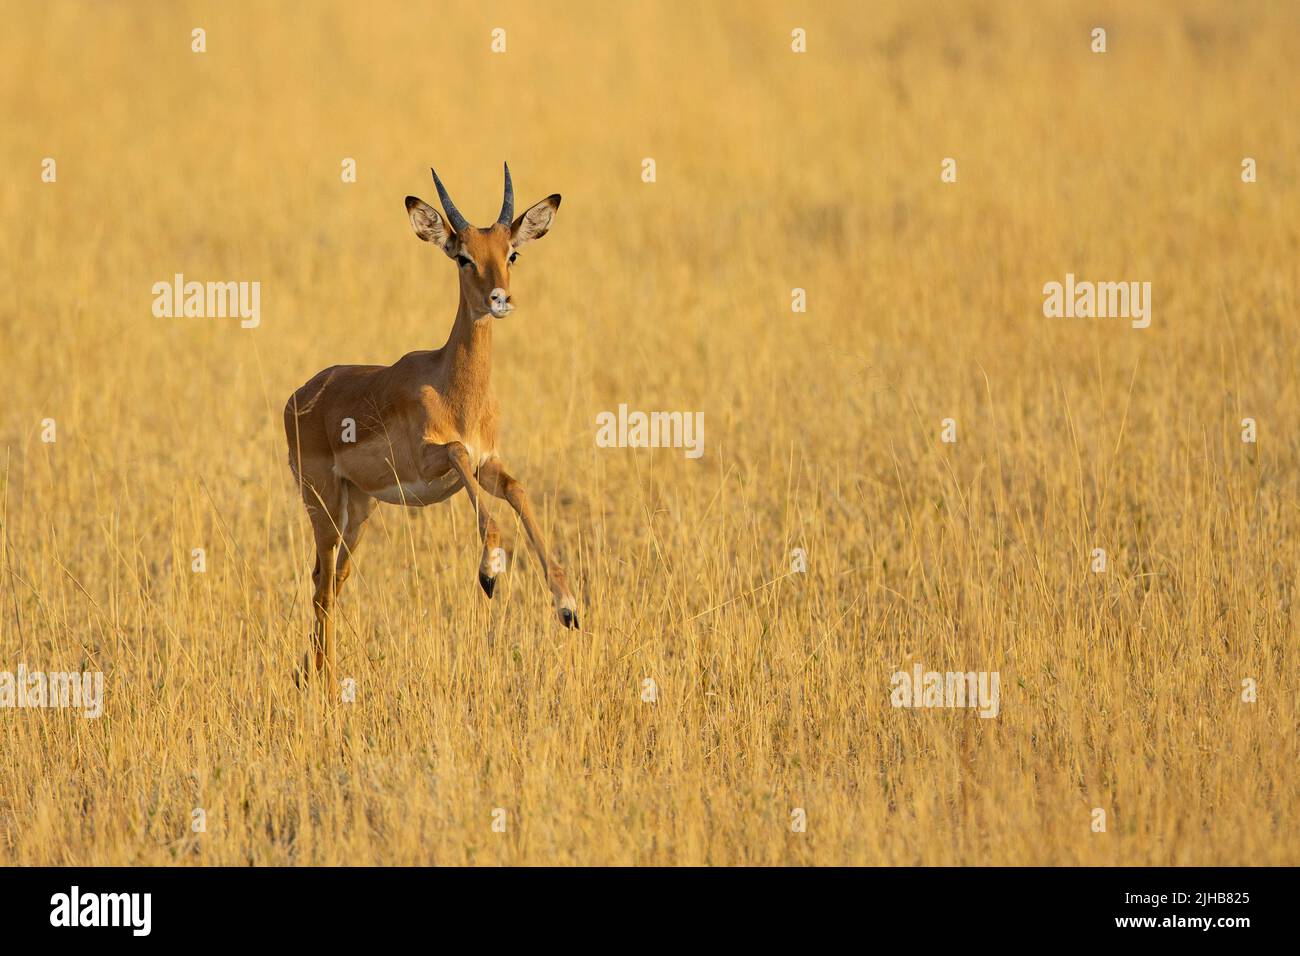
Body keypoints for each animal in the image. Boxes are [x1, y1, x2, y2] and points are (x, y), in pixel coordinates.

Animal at [283, 163, 579, 683]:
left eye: (512, 252)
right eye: (463, 257)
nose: (500, 299)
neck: (454, 389)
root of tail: (297, 397)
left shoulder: (488, 464)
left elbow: (518, 488)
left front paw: (566, 605)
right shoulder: (434, 460)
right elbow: (458, 454)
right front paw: (489, 572)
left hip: (359, 510)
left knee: (331, 580)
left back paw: (311, 672)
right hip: (324, 507)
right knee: (320, 586)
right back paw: (324, 680)